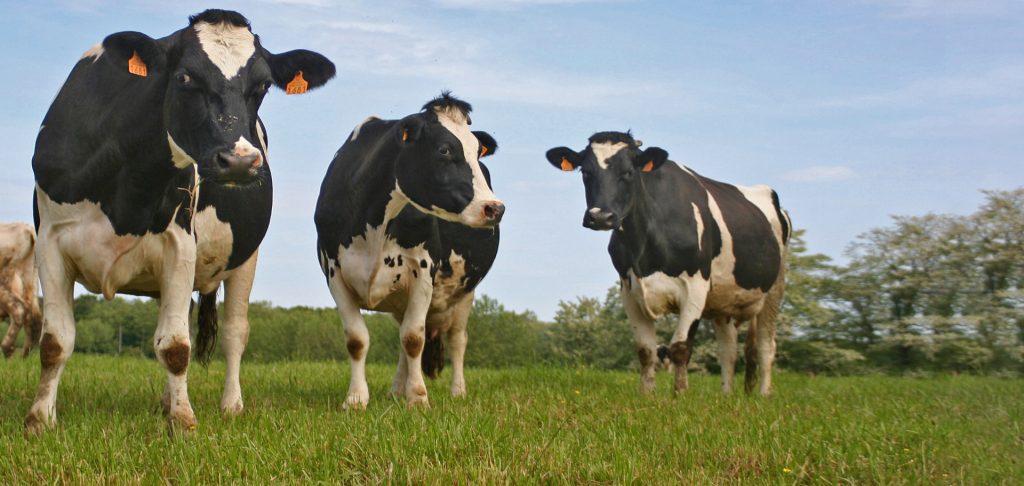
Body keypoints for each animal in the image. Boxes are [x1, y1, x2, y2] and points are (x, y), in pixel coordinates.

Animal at [0, 223, 43, 359]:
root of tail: (26, 228)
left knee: (18, 309)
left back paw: (8, 349)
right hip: (30, 276)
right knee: (31, 315)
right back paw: (24, 355)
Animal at [26, 9, 335, 433]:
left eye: (263, 84)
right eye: (185, 77)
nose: (239, 161)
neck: (123, 184)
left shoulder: (180, 244)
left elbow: (175, 347)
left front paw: (183, 421)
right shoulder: (50, 243)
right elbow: (55, 342)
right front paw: (40, 418)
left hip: (246, 256)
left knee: (234, 332)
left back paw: (230, 404)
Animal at [315, 93, 503, 409]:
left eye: (478, 151)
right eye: (444, 149)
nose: (495, 208)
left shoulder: (423, 272)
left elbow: (414, 338)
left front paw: (417, 399)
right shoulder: (334, 273)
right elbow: (357, 340)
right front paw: (356, 399)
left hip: (465, 291)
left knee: (457, 340)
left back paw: (457, 391)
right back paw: (395, 390)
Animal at [546, 131, 790, 396]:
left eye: (629, 172)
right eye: (585, 171)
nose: (600, 217)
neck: (644, 251)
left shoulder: (696, 287)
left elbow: (680, 348)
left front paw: (680, 394)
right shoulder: (629, 290)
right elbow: (645, 350)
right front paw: (647, 394)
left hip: (774, 289)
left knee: (766, 346)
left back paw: (764, 395)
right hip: (724, 300)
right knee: (729, 349)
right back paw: (726, 396)